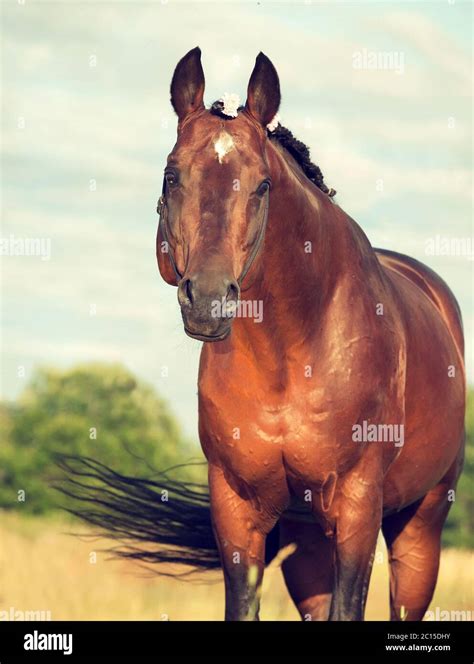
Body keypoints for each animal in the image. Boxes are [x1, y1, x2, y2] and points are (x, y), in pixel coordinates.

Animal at [155, 47, 465, 621]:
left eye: (262, 185)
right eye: (171, 176)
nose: (207, 299)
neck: (289, 357)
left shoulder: (358, 507)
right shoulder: (236, 508)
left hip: (420, 526)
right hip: (309, 541)